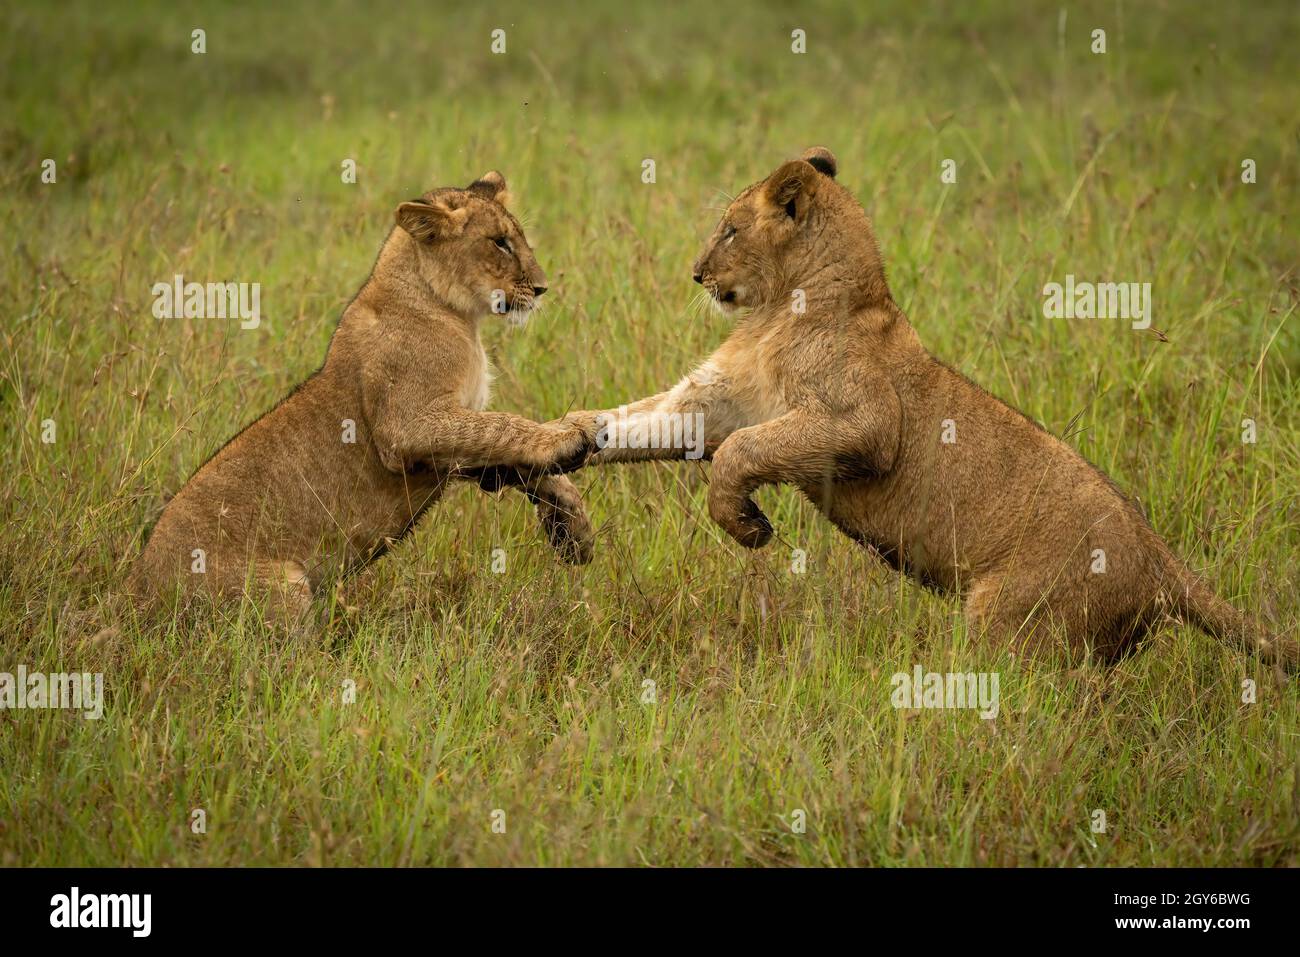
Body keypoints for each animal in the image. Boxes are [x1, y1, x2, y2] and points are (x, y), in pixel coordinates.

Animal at [130, 171, 593, 618]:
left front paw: (573, 530)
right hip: (282, 589)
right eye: (499, 242)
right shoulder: (405, 429)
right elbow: (506, 425)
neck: (457, 315)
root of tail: (139, 594)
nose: (542, 288)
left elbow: (518, 459)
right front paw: (571, 435)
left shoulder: (451, 448)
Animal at [560, 147, 1294, 670]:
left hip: (1009, 620)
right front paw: (562, 442)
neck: (783, 308)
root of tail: (1162, 559)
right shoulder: (722, 401)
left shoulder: (865, 425)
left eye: (731, 229)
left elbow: (742, 452)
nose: (696, 274)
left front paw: (746, 526)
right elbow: (635, 423)